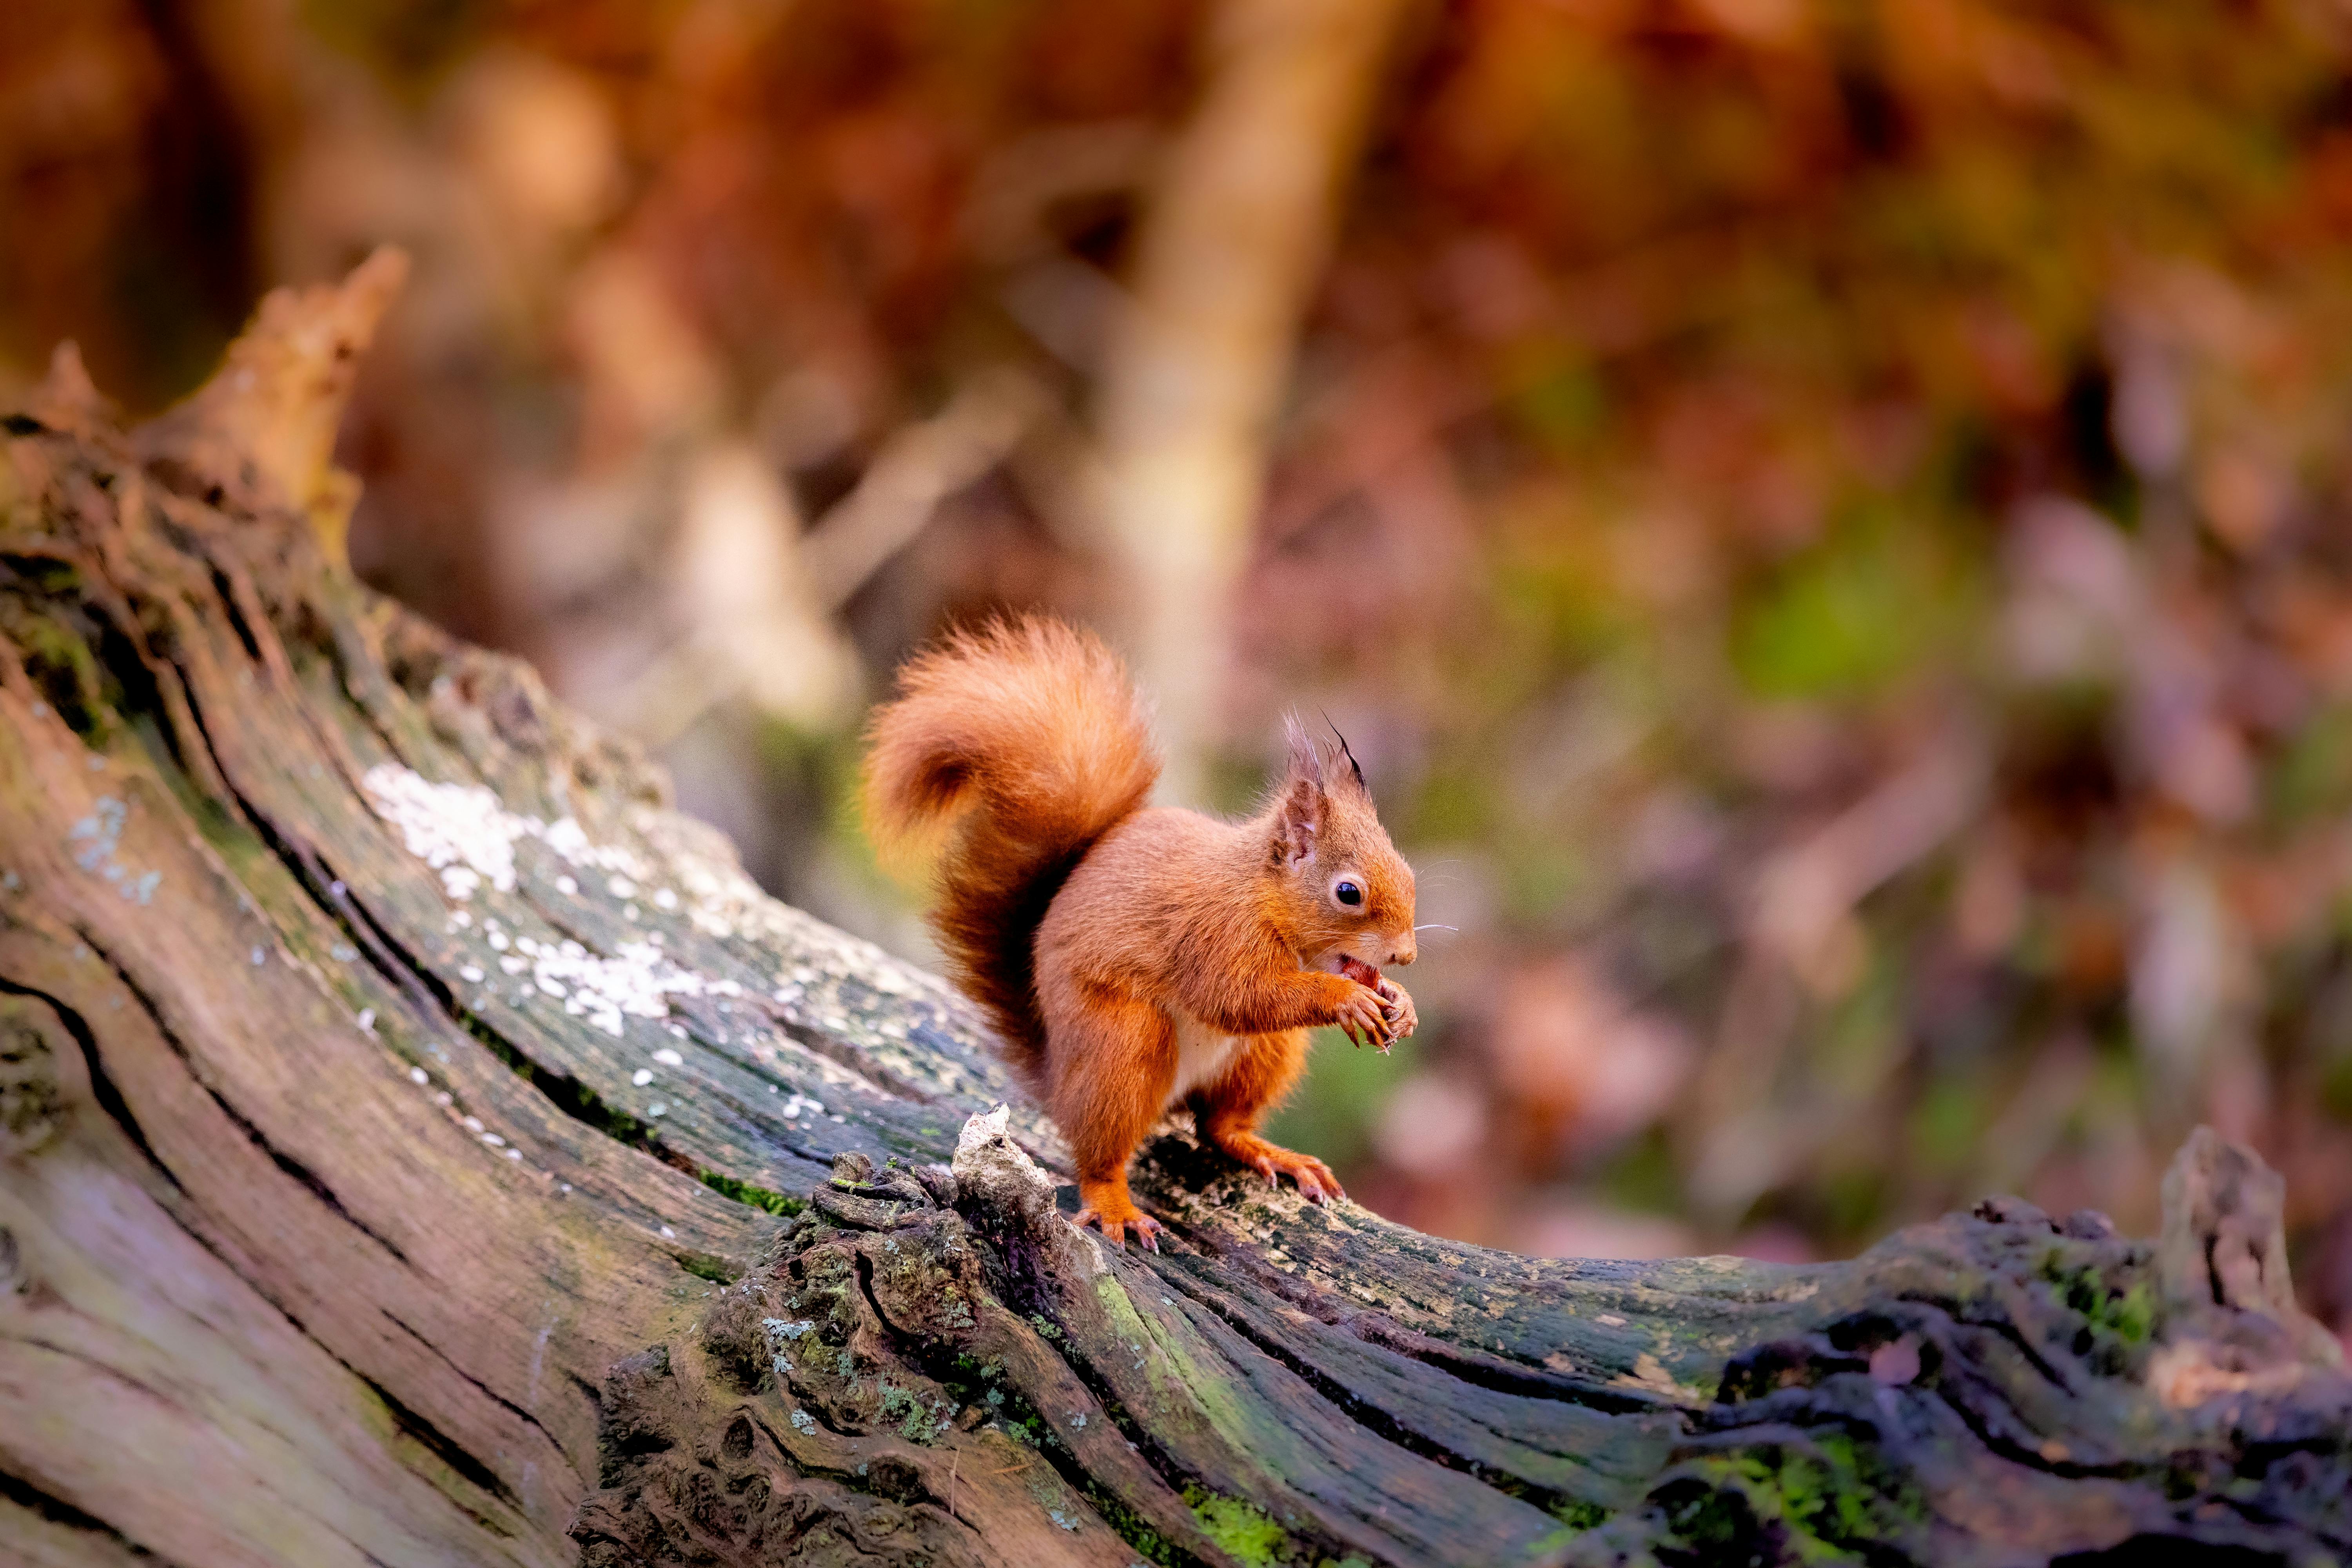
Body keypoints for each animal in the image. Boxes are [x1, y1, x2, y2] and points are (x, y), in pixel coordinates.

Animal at [862, 615, 1419, 1249]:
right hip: (1123, 1045)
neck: (1264, 896)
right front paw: (1346, 998)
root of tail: (1057, 1075)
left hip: (1266, 1053)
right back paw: (1116, 1204)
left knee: (1219, 1126)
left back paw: (1272, 1152)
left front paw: (1399, 1003)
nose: (1406, 954)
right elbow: (1240, 996)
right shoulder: (1216, 933)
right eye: (1349, 893)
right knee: (1104, 1151)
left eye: (1408, 871)